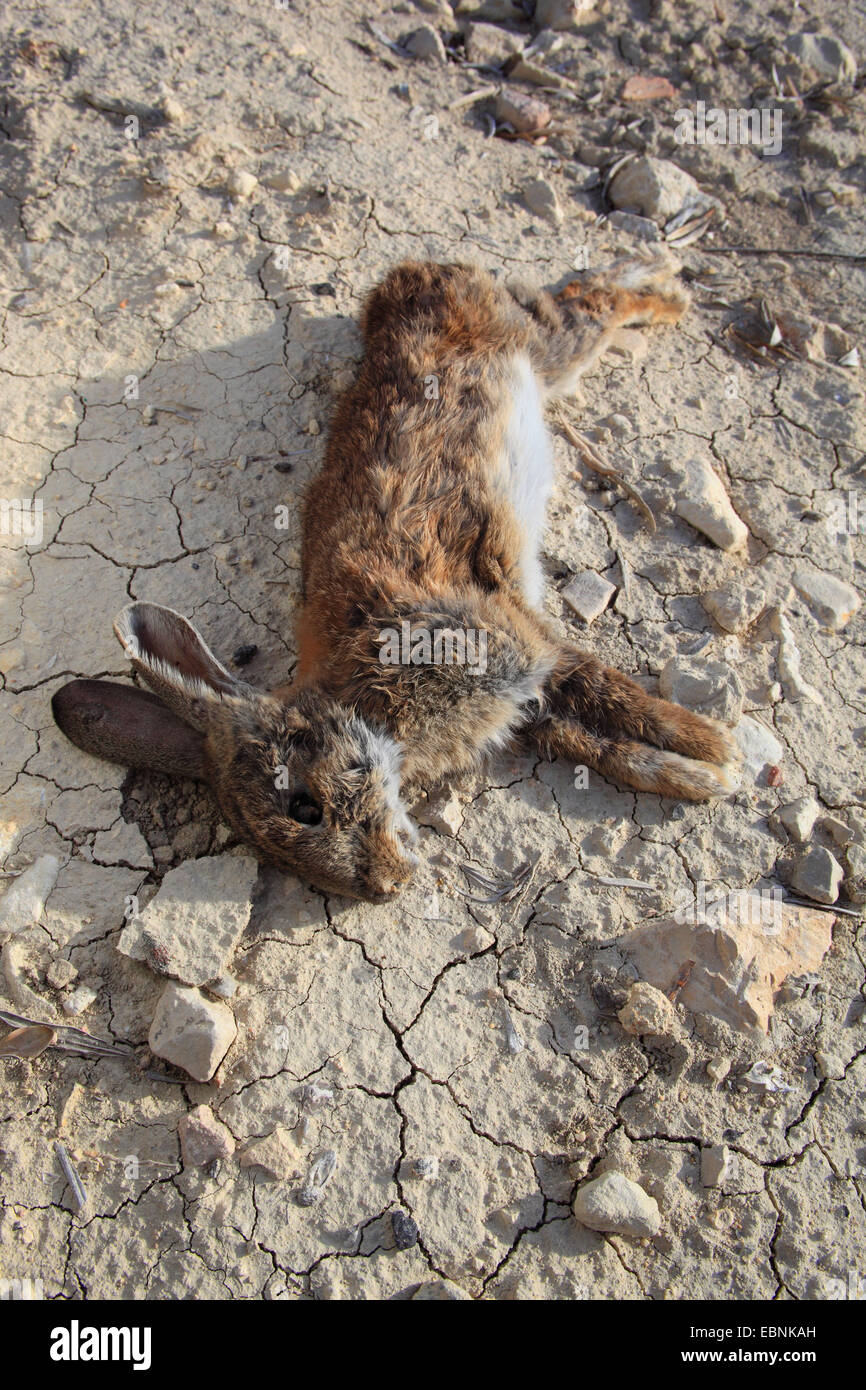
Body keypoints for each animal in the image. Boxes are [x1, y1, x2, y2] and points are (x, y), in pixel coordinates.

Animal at [53, 252, 739, 902]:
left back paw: (671, 286)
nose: (383, 889)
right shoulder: (522, 703)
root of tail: (412, 279)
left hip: (545, 345)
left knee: (592, 297)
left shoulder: (510, 640)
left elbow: (610, 693)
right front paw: (696, 780)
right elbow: (592, 742)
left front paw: (713, 747)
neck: (360, 700)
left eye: (305, 806)